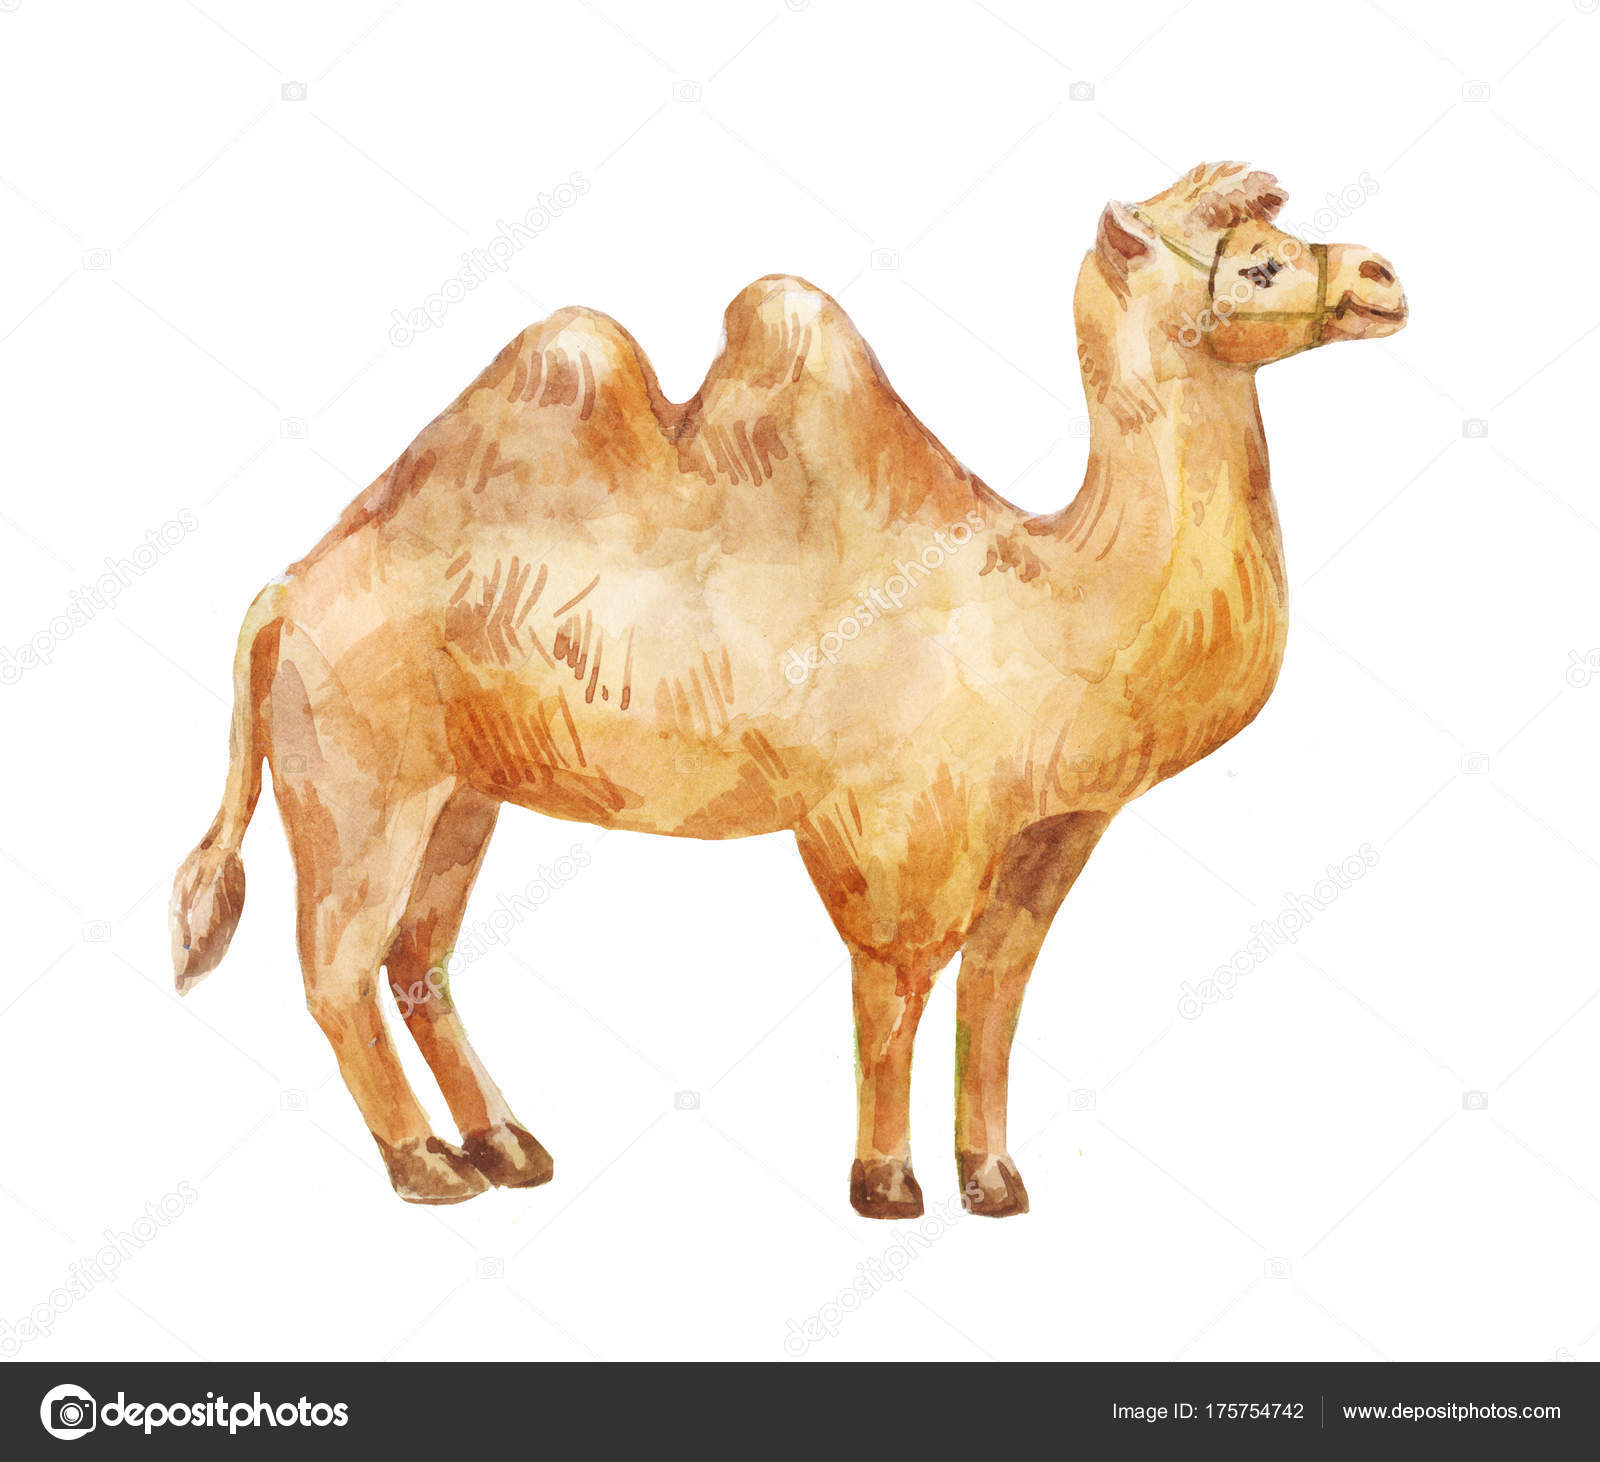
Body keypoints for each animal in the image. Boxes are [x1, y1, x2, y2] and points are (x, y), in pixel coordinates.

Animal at [170, 163, 1405, 1217]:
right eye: (1255, 264)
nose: (1382, 278)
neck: (1052, 605)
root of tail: (284, 591)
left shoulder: (1050, 827)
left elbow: (997, 988)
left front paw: (993, 1179)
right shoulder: (893, 828)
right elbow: (896, 988)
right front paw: (886, 1183)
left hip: (463, 786)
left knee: (415, 957)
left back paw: (507, 1147)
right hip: (358, 775)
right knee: (336, 965)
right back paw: (425, 1166)